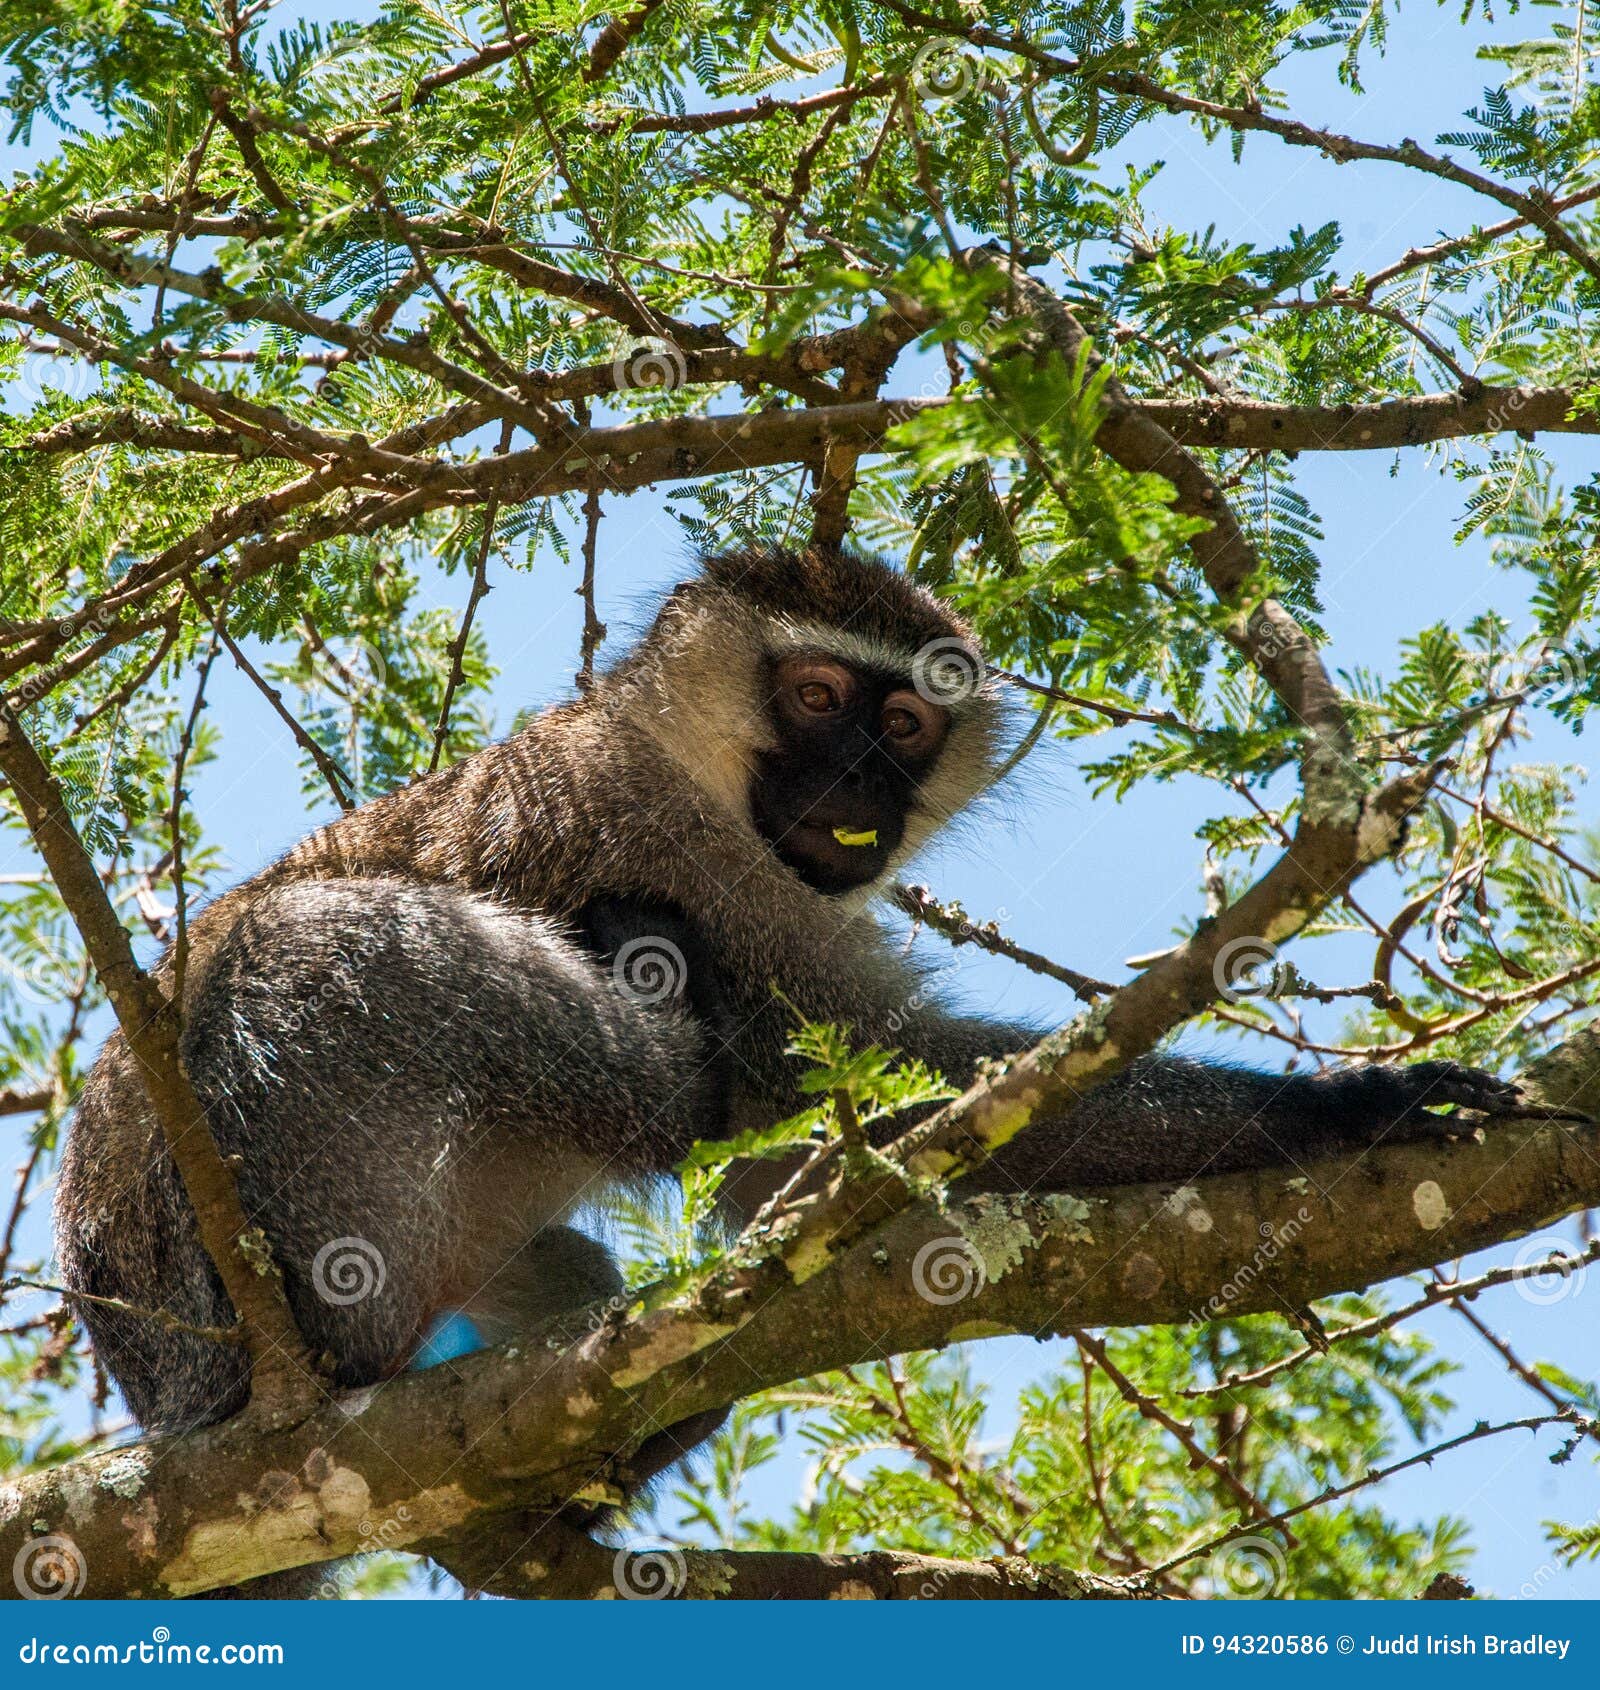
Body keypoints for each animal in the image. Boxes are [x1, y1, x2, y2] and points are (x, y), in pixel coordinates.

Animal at [54, 545, 1521, 1589]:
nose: (861, 781)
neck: (680, 756)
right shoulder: (670, 837)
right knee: (322, 945)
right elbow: (873, 1083)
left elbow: (810, 1159)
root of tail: (183, 1390)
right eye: (816, 698)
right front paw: (1339, 1106)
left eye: (908, 722)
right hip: (310, 1175)